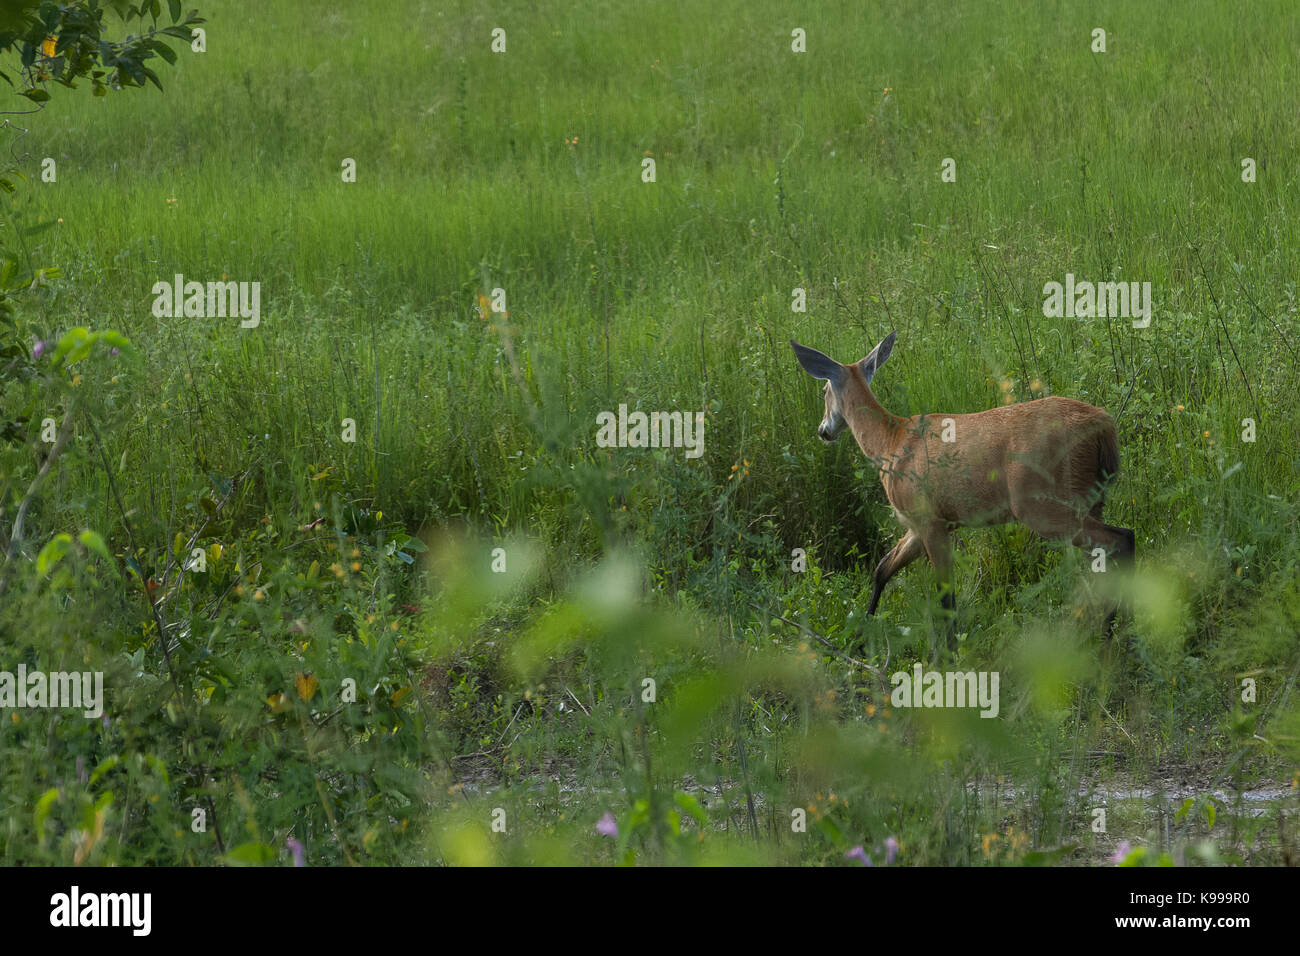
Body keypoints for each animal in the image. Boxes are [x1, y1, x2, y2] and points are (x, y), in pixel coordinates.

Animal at [791, 331, 1134, 649]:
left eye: (823, 391)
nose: (823, 431)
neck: (890, 443)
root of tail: (1105, 425)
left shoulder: (929, 520)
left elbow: (947, 598)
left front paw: (950, 657)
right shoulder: (920, 525)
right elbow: (882, 568)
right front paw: (860, 644)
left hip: (1041, 504)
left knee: (1122, 539)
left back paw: (1108, 636)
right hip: (1092, 498)